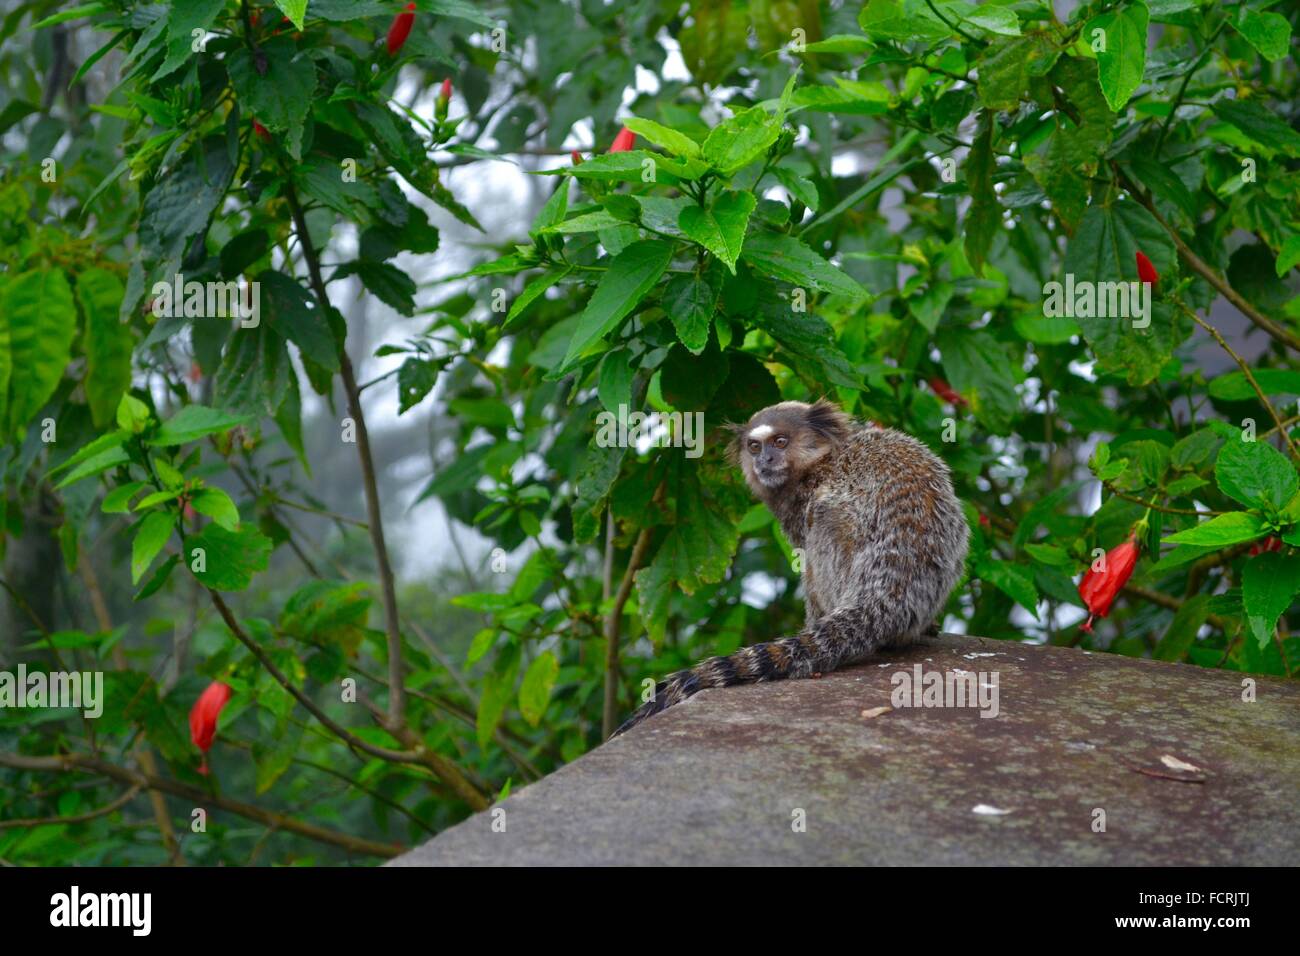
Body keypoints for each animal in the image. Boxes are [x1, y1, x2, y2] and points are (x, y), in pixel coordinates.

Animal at [615, 399, 968, 735]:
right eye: (754, 446)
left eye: (780, 442)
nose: (765, 461)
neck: (819, 464)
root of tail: (892, 587)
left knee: (825, 518)